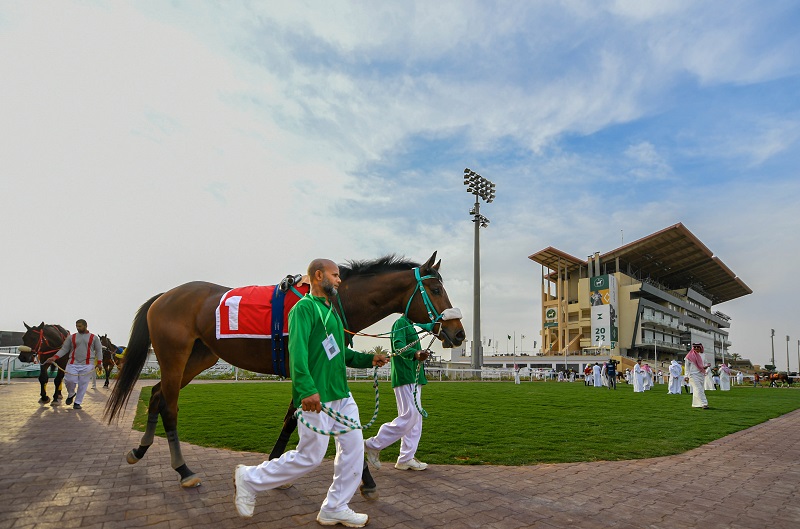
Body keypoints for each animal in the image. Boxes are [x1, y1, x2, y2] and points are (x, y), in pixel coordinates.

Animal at [105, 252, 465, 491]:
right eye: (435, 290)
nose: (458, 333)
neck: (331, 302)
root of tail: (164, 296)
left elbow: (305, 417)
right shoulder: (305, 367)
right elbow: (294, 418)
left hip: (199, 357)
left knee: (156, 395)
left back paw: (140, 450)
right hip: (175, 355)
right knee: (169, 405)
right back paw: (183, 469)